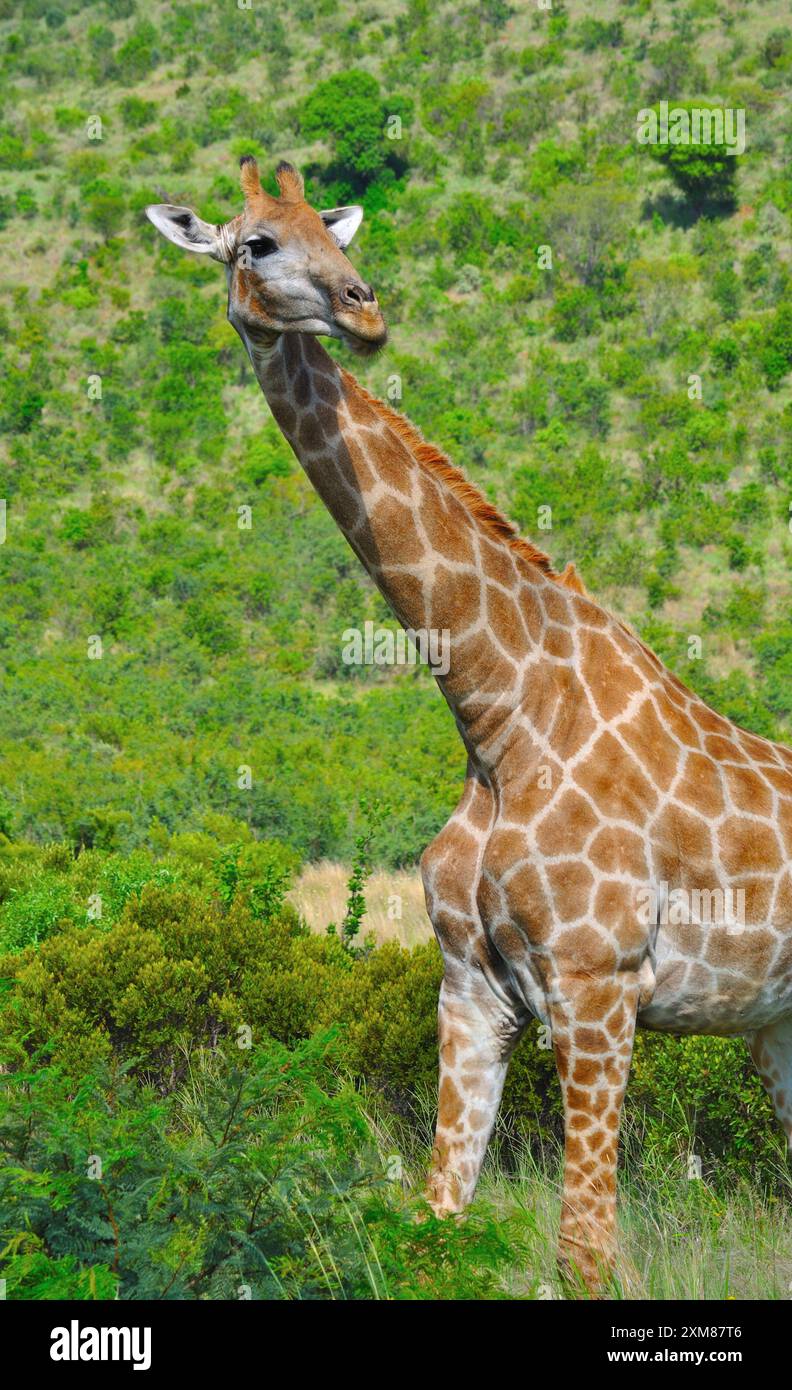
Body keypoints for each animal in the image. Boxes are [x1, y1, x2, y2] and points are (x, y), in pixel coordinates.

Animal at [147, 158, 792, 1295]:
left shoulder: (597, 986)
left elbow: (583, 1254)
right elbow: (435, 1218)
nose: (363, 310)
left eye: (336, 231)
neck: (497, 715)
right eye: (256, 243)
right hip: (780, 1025)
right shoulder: (472, 991)